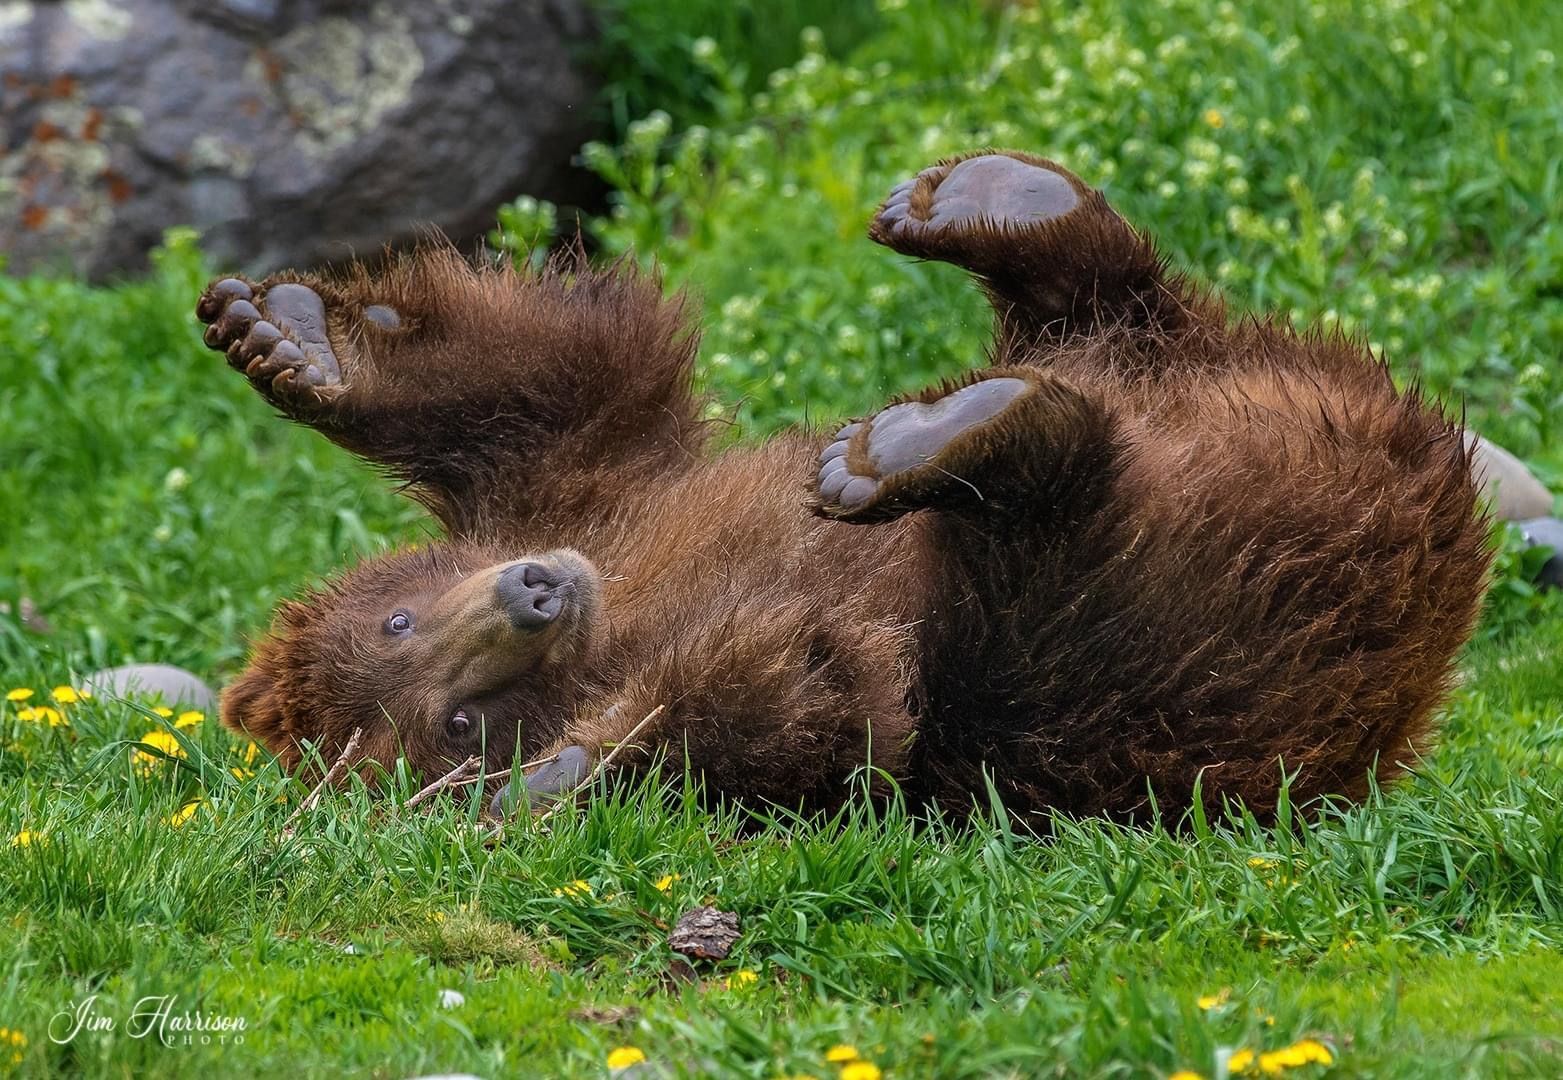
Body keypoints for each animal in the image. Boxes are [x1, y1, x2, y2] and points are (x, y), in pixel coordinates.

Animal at [195, 150, 1491, 826]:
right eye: (453, 726)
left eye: (401, 616)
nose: (533, 595)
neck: (615, 601)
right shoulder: (809, 677)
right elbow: (797, 695)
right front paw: (557, 776)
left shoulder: (587, 485)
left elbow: (562, 372)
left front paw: (290, 331)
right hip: (1148, 683)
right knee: (1050, 577)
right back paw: (925, 442)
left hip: (1239, 385)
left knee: (1120, 312)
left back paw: (977, 202)